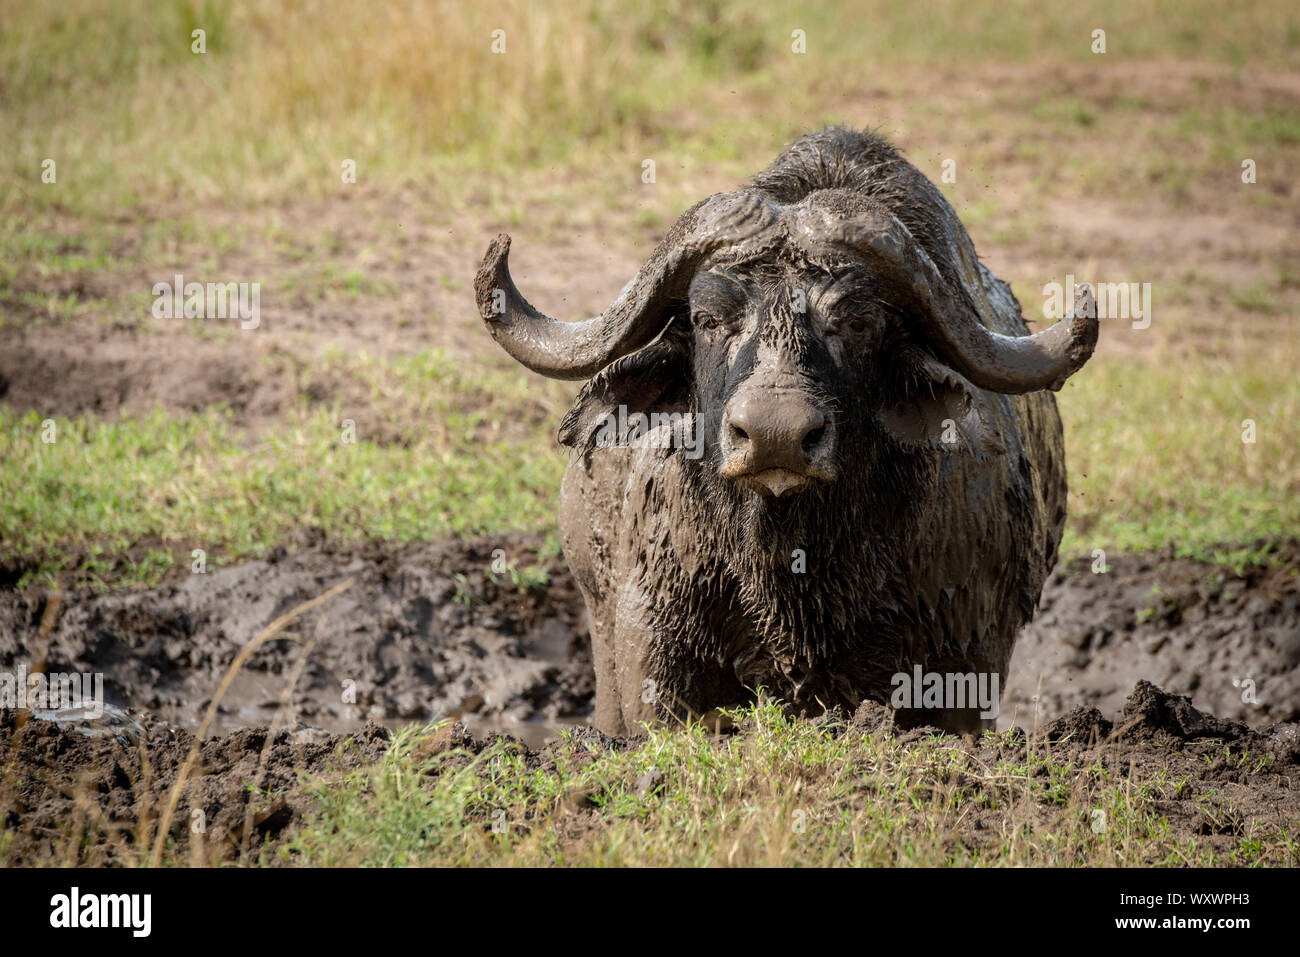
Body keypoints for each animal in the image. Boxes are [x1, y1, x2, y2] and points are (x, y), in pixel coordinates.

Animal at [475, 126, 1098, 733]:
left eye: (859, 322)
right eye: (707, 319)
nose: (774, 436)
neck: (788, 566)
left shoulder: (965, 662)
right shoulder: (652, 654)